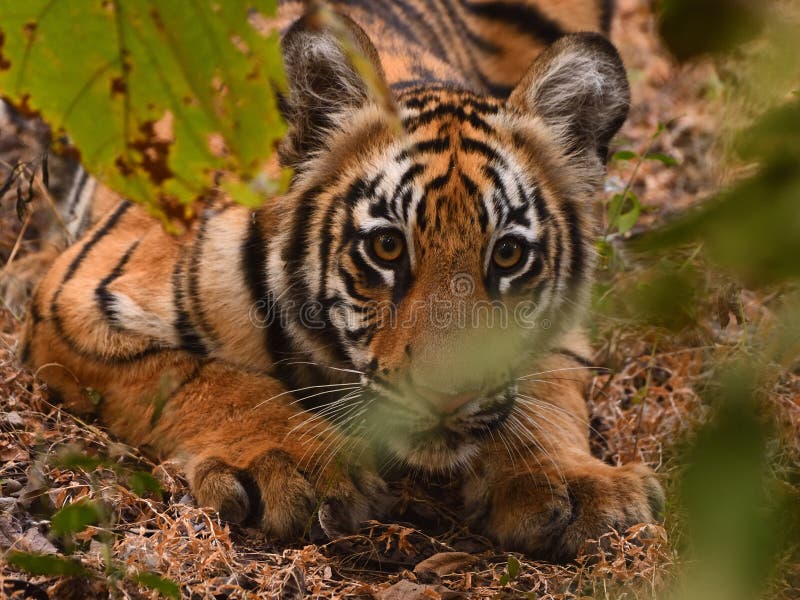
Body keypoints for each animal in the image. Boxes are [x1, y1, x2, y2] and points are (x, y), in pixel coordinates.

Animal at [13, 0, 664, 562]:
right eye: (386, 246)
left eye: (506, 255)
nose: (448, 396)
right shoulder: (80, 299)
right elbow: (204, 380)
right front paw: (296, 465)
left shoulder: (564, 335)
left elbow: (549, 394)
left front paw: (576, 484)